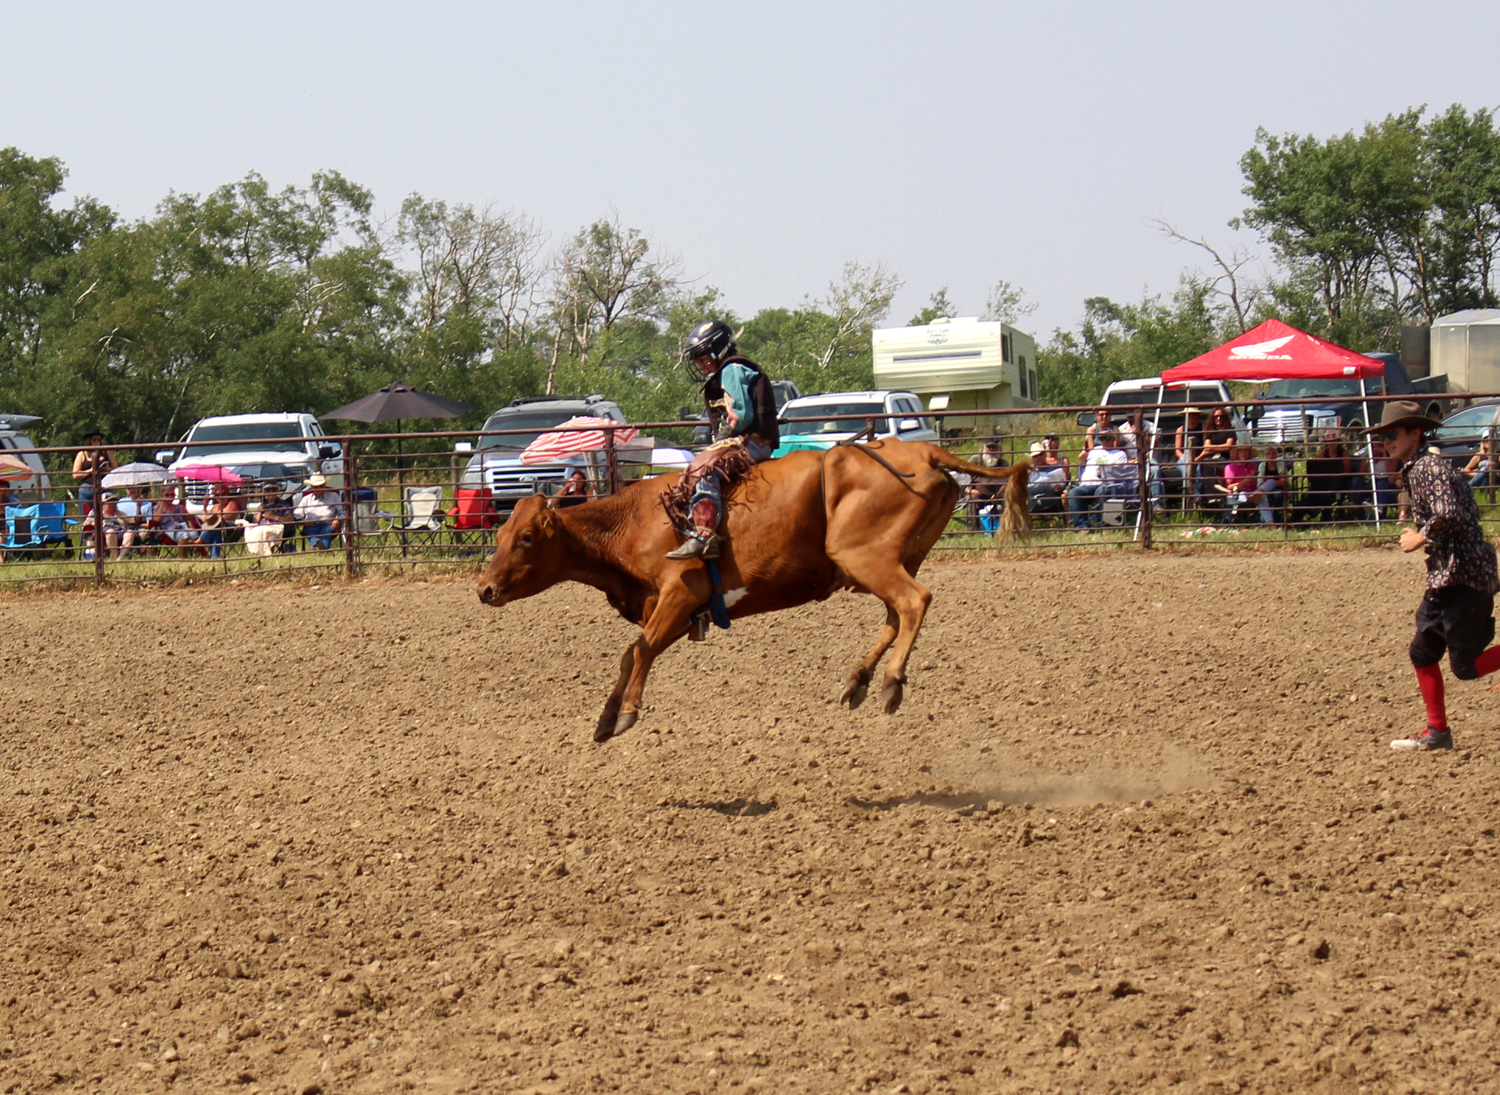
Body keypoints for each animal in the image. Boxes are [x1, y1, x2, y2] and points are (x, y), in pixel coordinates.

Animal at [476, 440, 1030, 742]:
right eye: (500, 535)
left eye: (527, 538)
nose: (484, 589)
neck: (634, 520)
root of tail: (927, 452)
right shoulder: (678, 609)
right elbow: (633, 653)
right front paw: (607, 717)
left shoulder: (682, 591)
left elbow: (642, 649)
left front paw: (626, 714)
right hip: (891, 559)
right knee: (896, 614)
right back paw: (859, 680)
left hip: (865, 556)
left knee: (915, 602)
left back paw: (891, 682)